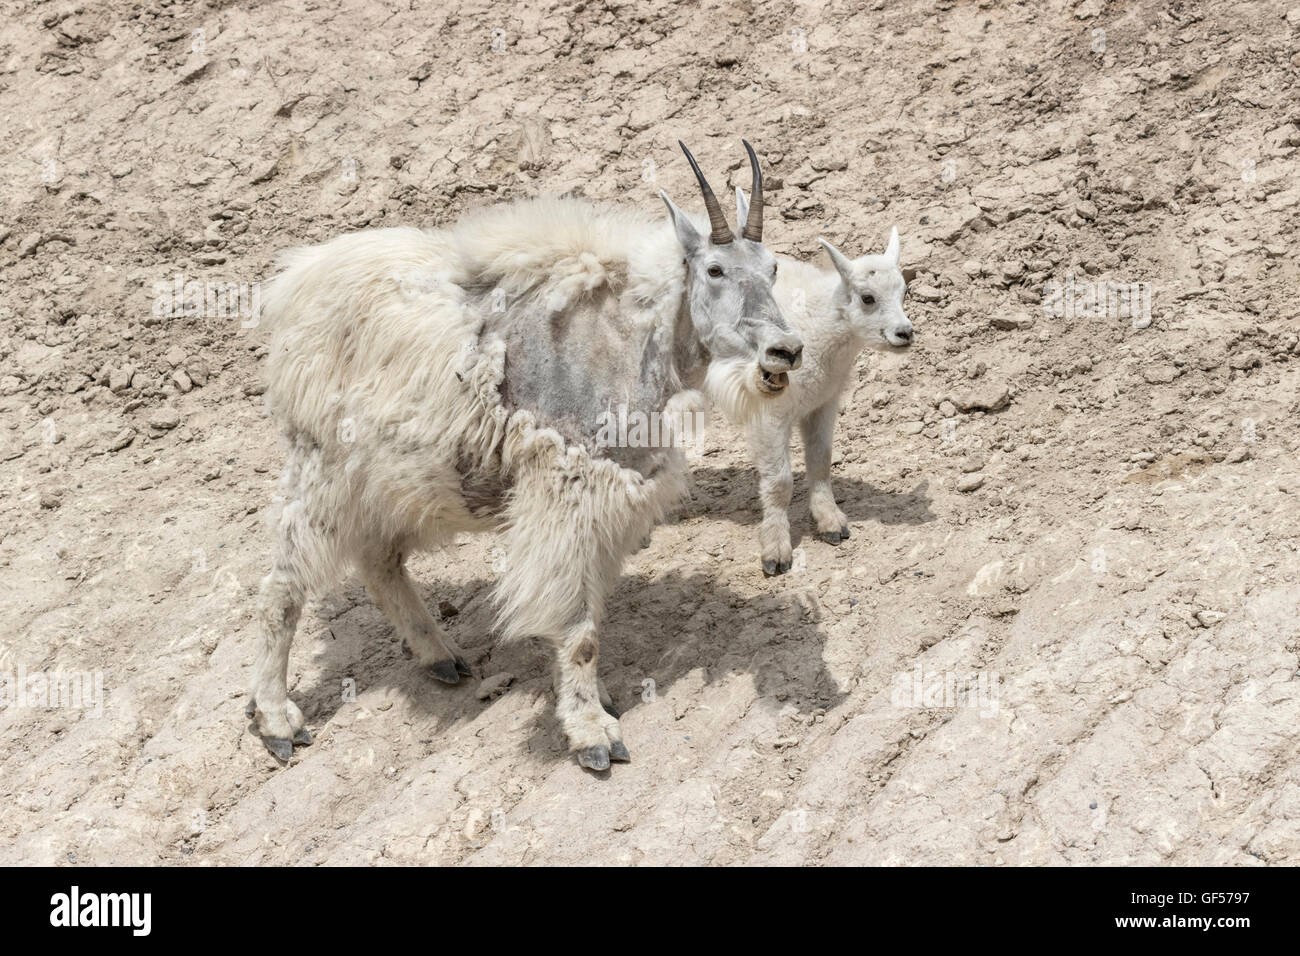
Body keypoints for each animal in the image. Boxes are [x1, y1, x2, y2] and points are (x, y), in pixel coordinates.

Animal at [246, 143, 803, 771]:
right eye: (714, 270)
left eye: (773, 268)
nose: (785, 351)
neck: (635, 344)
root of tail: (295, 286)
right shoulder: (564, 493)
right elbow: (580, 630)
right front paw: (593, 736)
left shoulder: (612, 500)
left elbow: (583, 612)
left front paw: (594, 701)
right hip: (323, 463)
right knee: (282, 587)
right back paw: (277, 719)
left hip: (395, 480)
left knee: (378, 558)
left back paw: (441, 657)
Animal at [734, 188, 912, 575]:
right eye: (867, 297)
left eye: (904, 291)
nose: (905, 333)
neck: (816, 328)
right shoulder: (770, 412)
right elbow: (779, 481)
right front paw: (776, 552)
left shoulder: (823, 402)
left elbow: (821, 458)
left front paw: (832, 523)